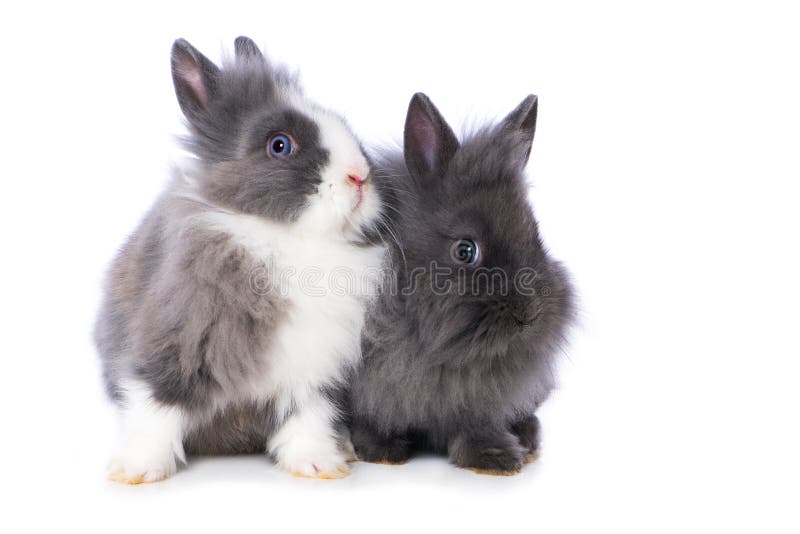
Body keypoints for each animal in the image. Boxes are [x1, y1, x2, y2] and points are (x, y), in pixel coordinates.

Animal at [94, 36, 387, 483]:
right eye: (279, 145)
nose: (359, 176)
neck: (287, 238)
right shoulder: (173, 345)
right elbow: (157, 404)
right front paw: (136, 470)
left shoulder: (312, 366)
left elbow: (307, 415)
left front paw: (318, 465)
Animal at [347, 93, 575, 474]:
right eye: (465, 250)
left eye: (535, 236)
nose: (529, 314)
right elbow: (369, 420)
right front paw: (381, 451)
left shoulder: (481, 398)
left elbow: (476, 425)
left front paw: (496, 459)